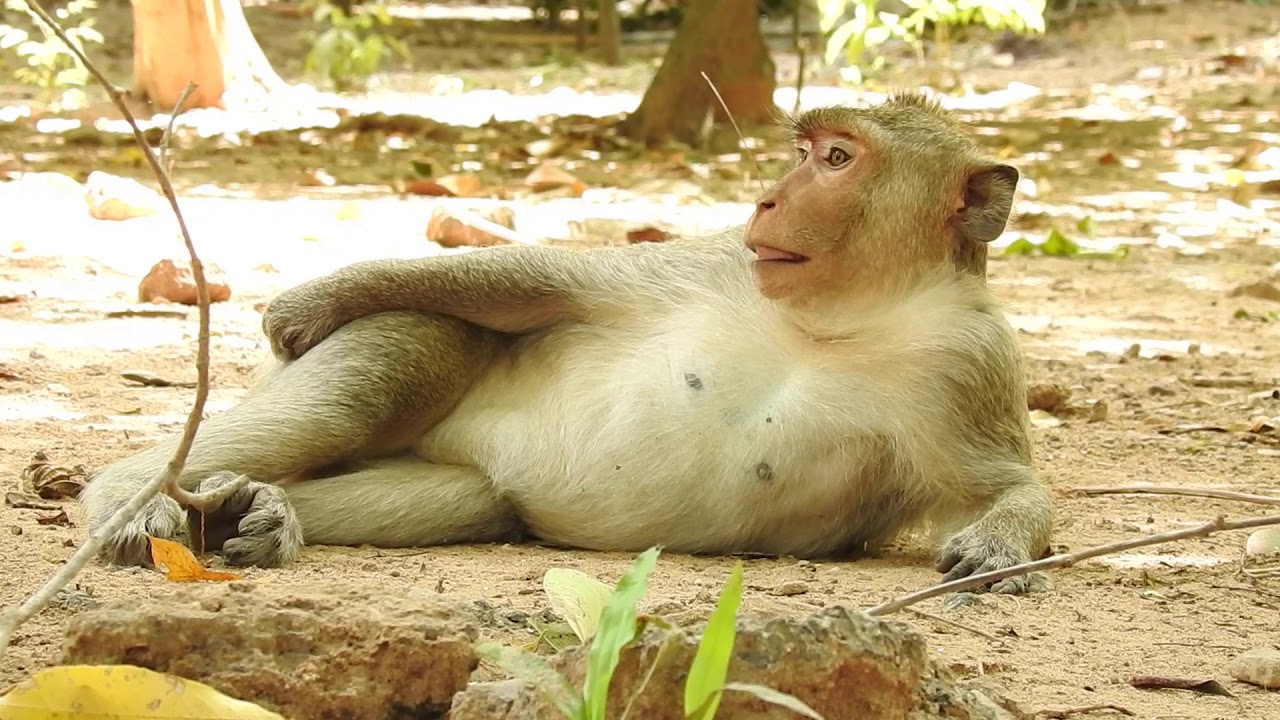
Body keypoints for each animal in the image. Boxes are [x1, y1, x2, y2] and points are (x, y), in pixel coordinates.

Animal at [79, 90, 1053, 594]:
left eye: (839, 159)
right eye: (809, 149)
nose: (770, 199)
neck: (837, 317)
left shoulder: (967, 360)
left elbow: (999, 487)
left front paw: (1001, 543)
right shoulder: (719, 264)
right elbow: (543, 286)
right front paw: (314, 300)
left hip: (458, 478)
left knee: (461, 496)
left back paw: (248, 514)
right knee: (390, 363)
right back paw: (131, 495)